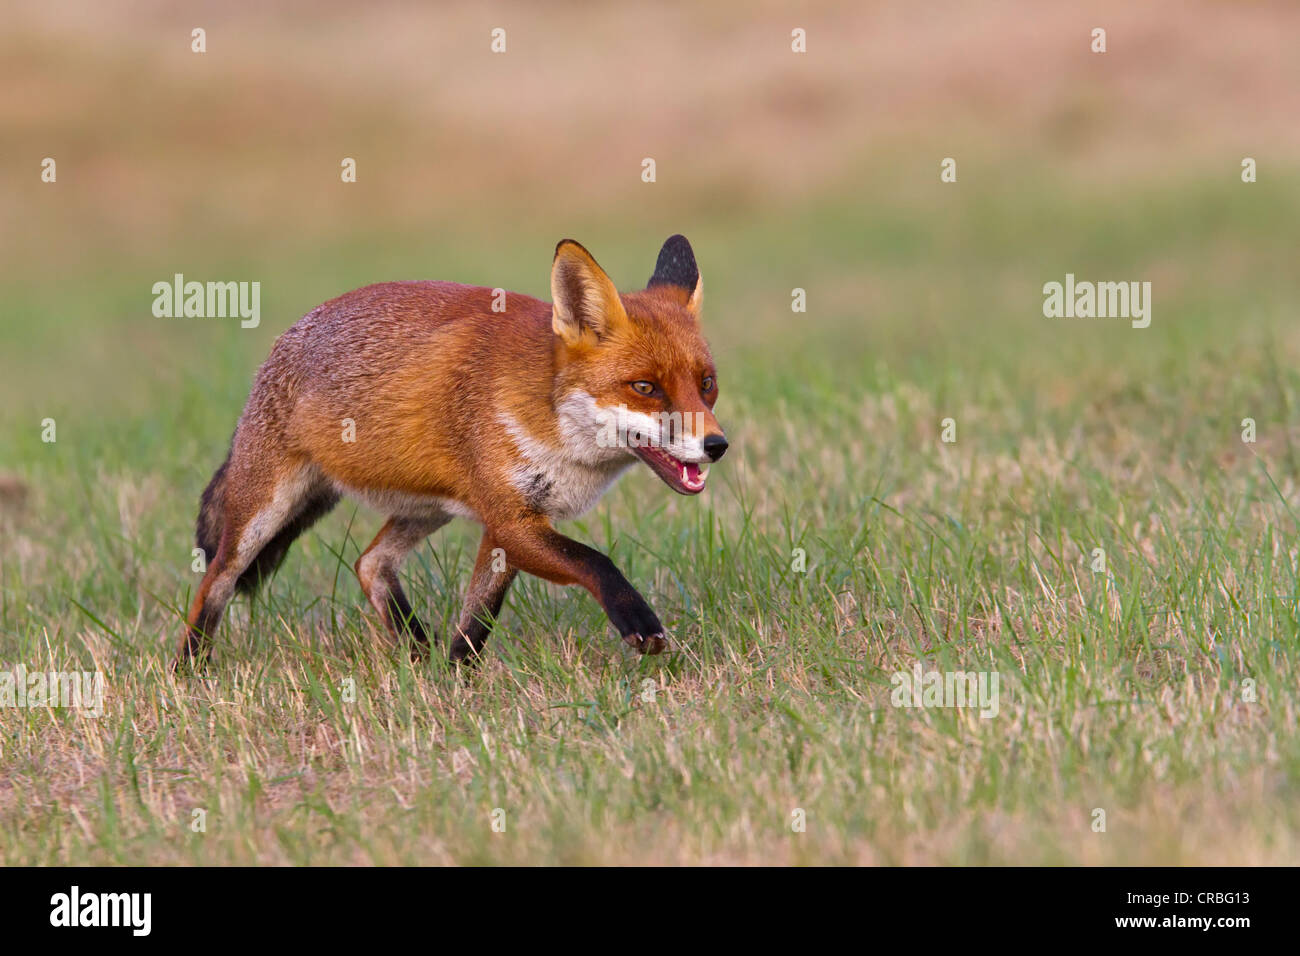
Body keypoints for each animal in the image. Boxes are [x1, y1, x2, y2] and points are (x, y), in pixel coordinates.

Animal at [177, 235, 728, 669]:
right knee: (215, 583)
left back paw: (418, 653)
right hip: (260, 514)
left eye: (706, 385)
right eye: (645, 388)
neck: (555, 428)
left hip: (425, 508)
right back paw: (189, 674)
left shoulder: (508, 524)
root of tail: (282, 342)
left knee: (370, 563)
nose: (717, 445)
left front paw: (457, 678)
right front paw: (637, 620)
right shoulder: (511, 518)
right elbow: (596, 561)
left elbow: (478, 619)